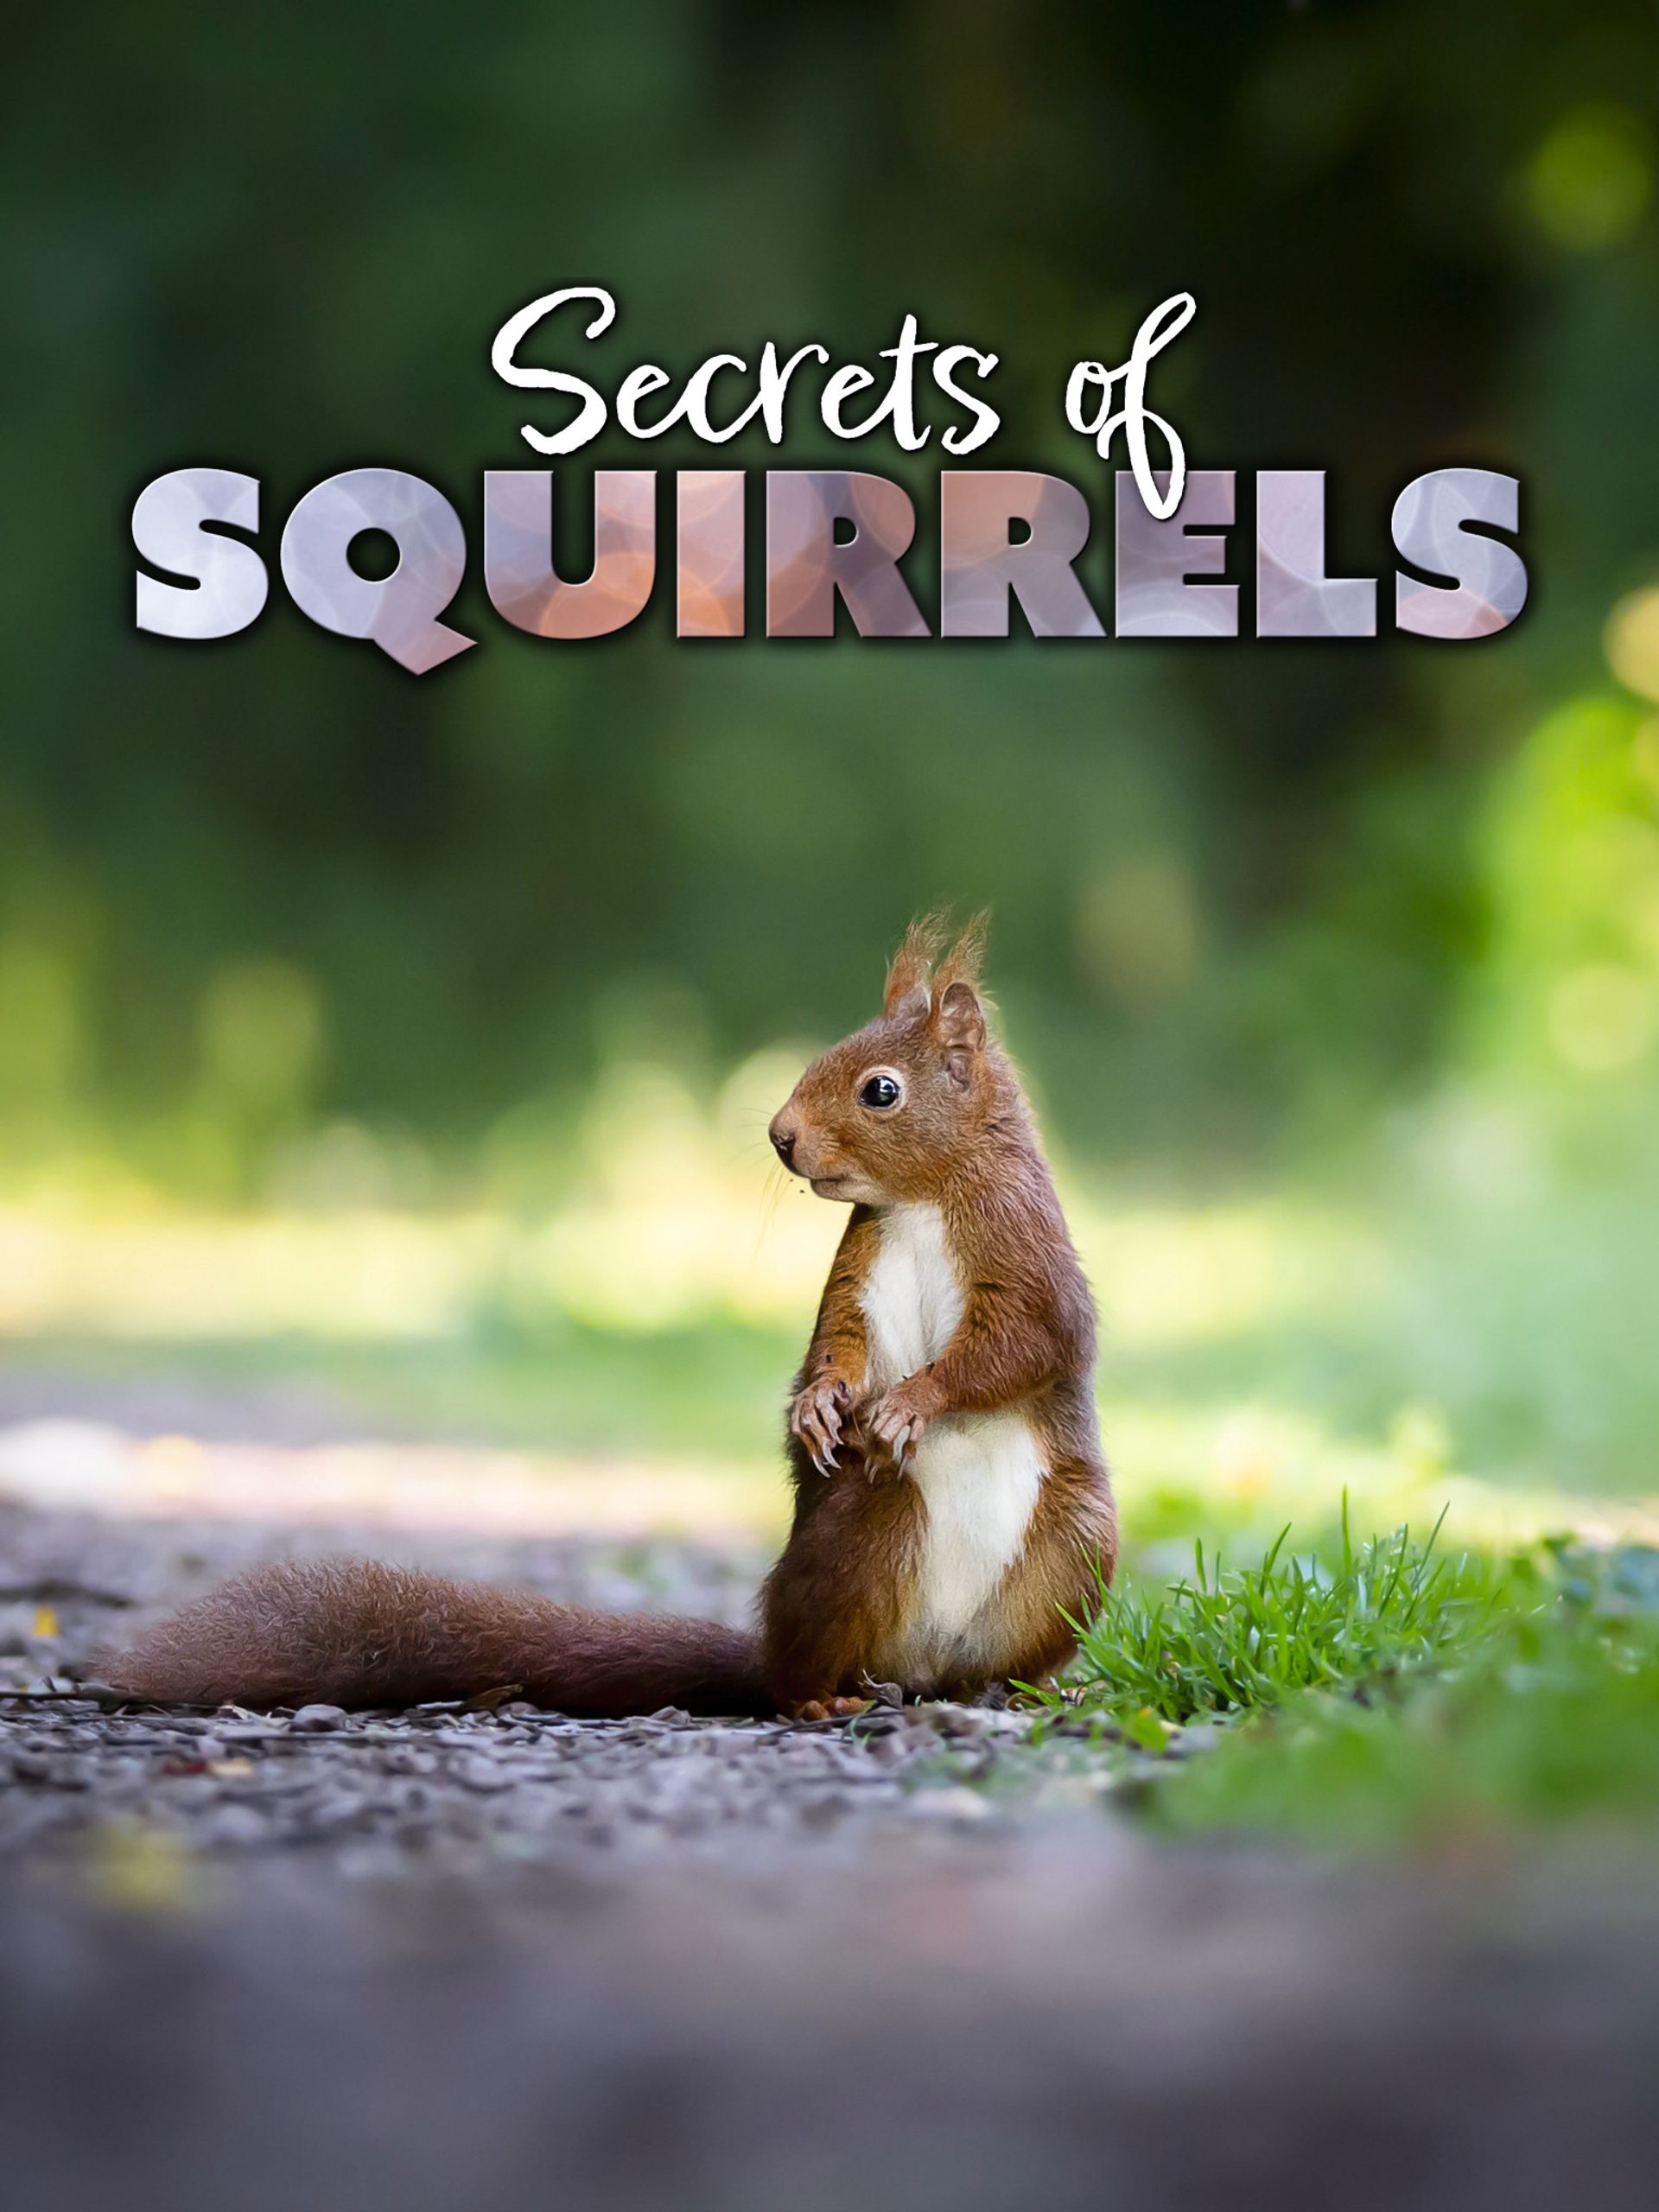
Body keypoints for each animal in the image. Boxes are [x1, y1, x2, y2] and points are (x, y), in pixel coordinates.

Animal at [100, 916, 1116, 1720]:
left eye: (881, 1089)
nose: (781, 1136)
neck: (922, 1201)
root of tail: (922, 1665)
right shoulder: (856, 1270)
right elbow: (838, 1345)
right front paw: (819, 1406)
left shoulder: (1025, 1256)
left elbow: (1022, 1345)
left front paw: (910, 1402)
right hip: (865, 1530)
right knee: (807, 1664)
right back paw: (819, 1697)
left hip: (1076, 1544)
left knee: (996, 1655)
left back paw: (1024, 1687)